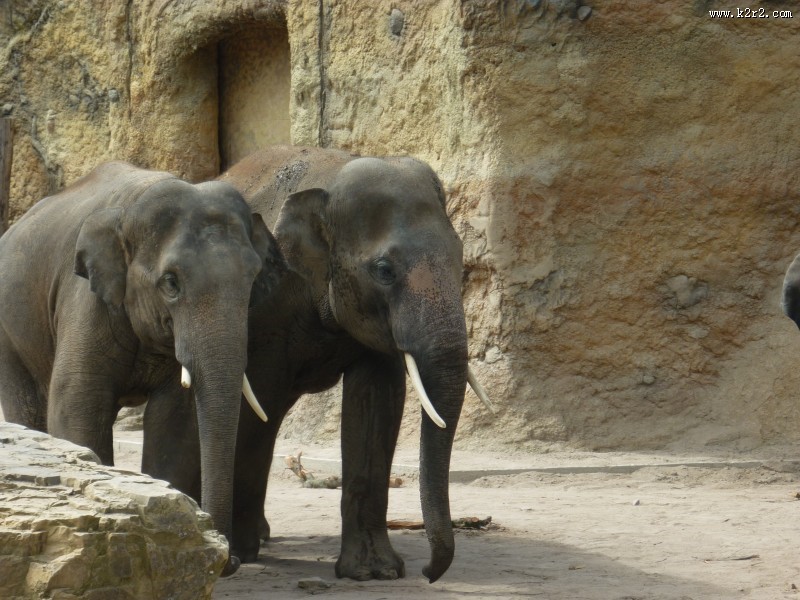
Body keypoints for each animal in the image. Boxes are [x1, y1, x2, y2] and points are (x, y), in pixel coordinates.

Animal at [0, 161, 285, 576]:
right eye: (171, 283)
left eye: (252, 278)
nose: (230, 561)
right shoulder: (84, 299)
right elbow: (76, 407)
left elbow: (175, 423)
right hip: (11, 333)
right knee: (29, 409)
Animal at [144, 145, 493, 583]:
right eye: (384, 270)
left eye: (460, 257)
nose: (429, 572)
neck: (332, 176)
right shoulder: (265, 310)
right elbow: (258, 402)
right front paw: (238, 553)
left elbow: (378, 400)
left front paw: (374, 572)